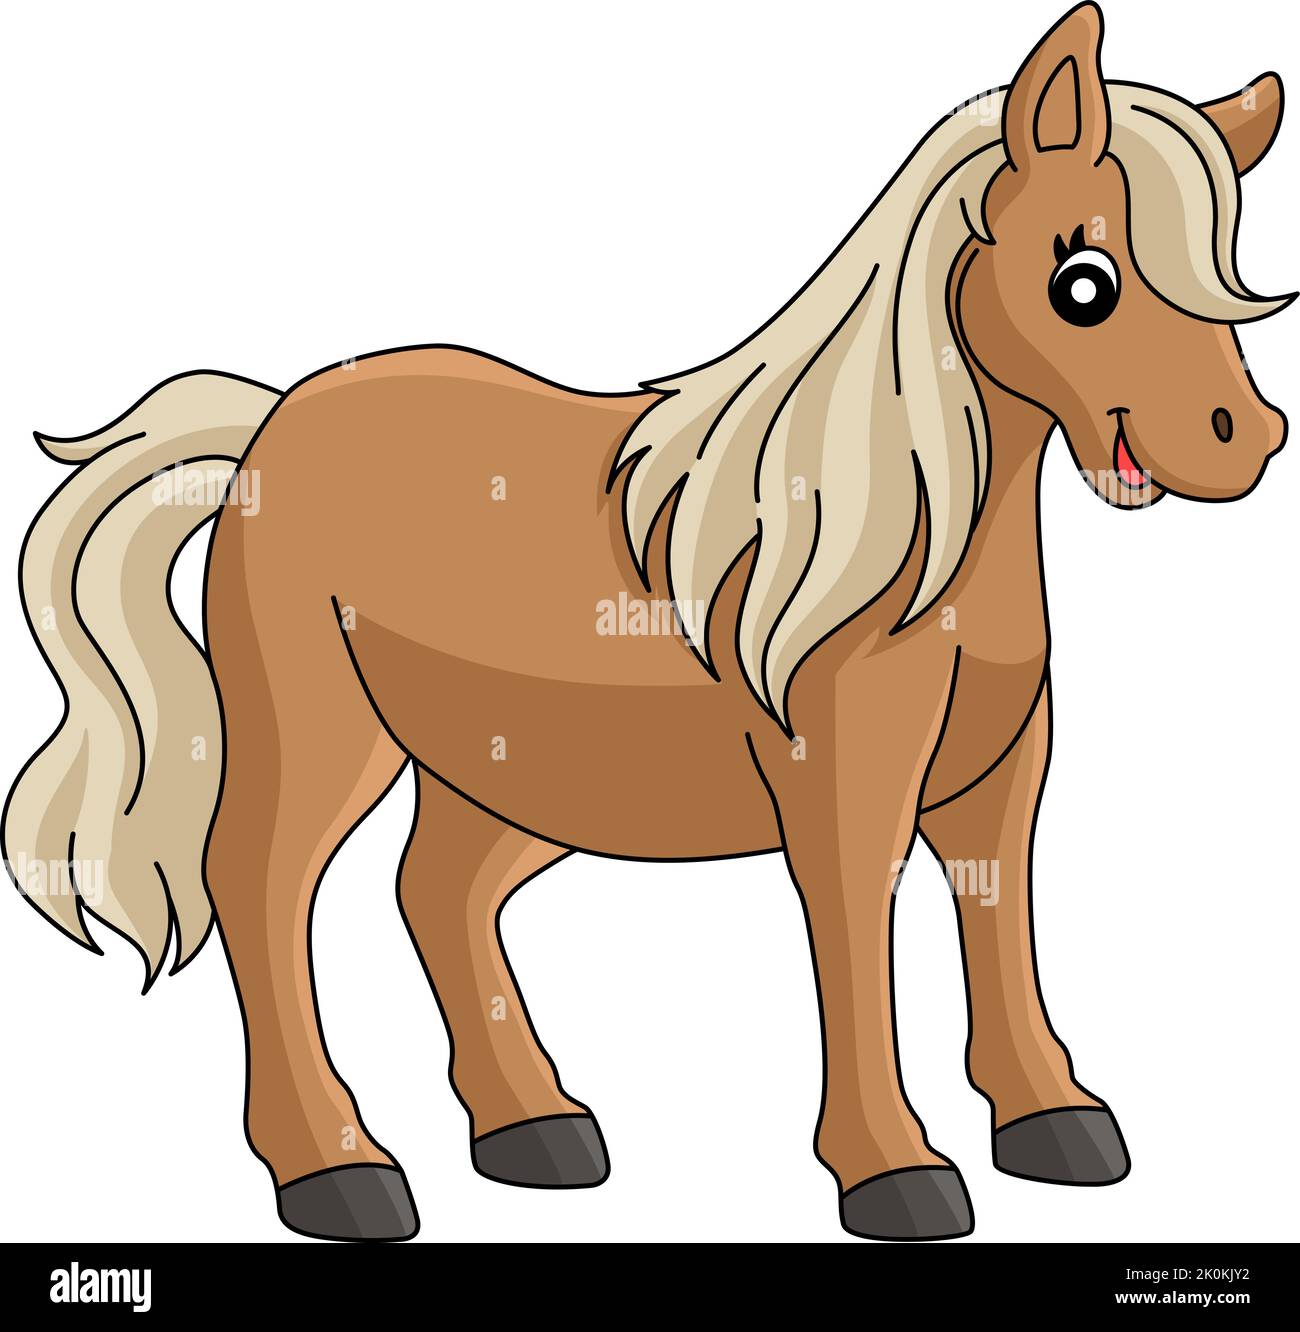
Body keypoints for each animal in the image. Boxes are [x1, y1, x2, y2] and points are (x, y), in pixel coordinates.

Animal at [4, 3, 1290, 1242]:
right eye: (1083, 281)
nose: (1244, 439)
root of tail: (268, 427)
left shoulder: (995, 774)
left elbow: (998, 918)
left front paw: (1054, 1122)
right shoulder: (842, 782)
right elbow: (854, 937)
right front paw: (894, 1173)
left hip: (512, 769)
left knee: (438, 889)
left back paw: (532, 1129)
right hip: (329, 737)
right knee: (262, 887)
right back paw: (337, 1171)